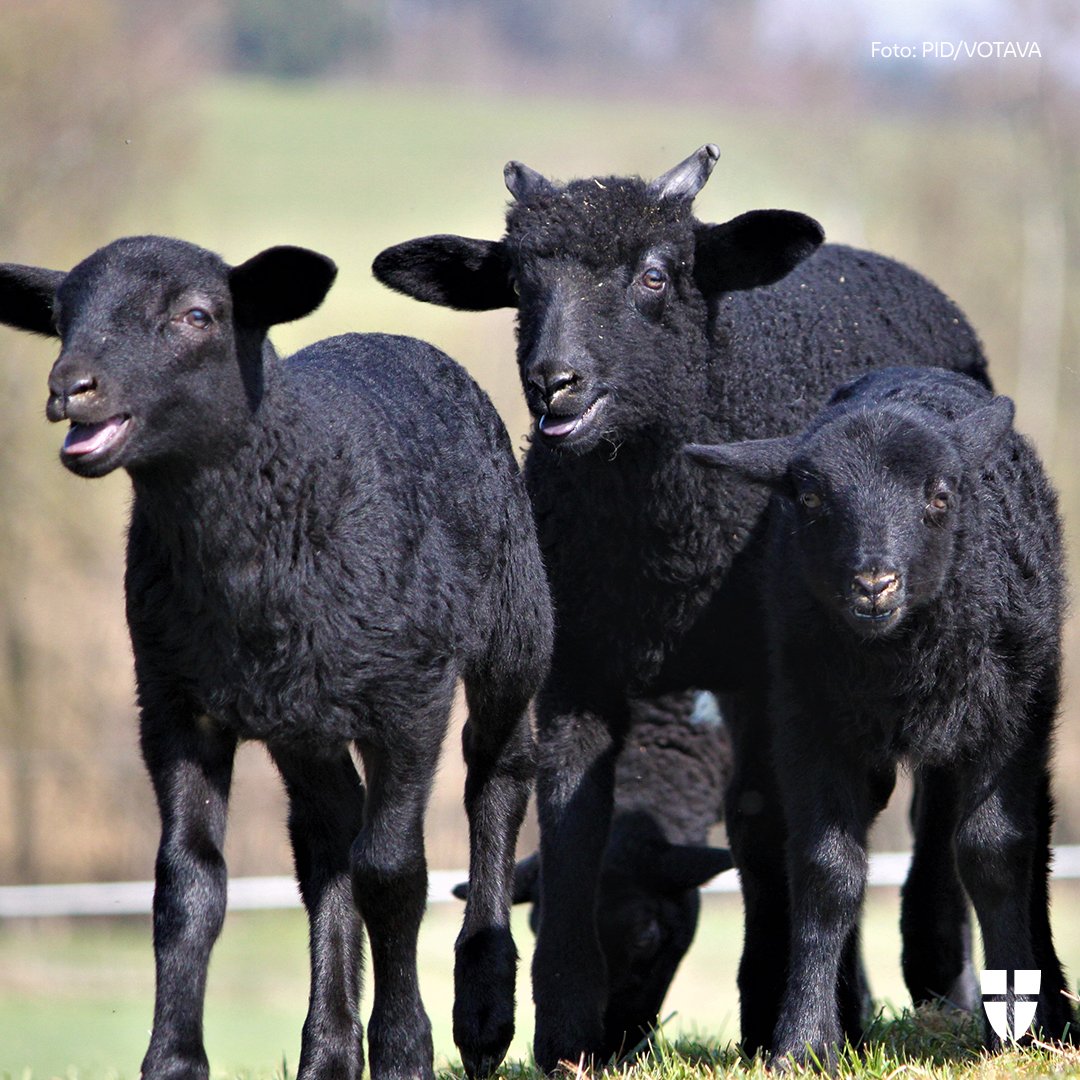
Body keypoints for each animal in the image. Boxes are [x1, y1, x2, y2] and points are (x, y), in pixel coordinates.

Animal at [0, 235, 553, 1080]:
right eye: (61, 318)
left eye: (197, 316)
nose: (72, 389)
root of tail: (390, 337)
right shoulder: (175, 702)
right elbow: (188, 884)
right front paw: (172, 1061)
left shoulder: (409, 695)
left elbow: (393, 872)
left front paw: (405, 1051)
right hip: (302, 717)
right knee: (327, 841)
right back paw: (328, 1050)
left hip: (513, 627)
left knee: (497, 776)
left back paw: (483, 1013)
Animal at [371, 145, 991, 1069]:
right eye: (519, 283)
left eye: (656, 276)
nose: (555, 384)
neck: (664, 557)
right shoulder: (578, 663)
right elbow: (572, 818)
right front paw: (564, 1034)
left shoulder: (763, 672)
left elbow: (765, 824)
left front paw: (769, 1012)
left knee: (929, 800)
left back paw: (937, 979)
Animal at [686, 366, 1074, 1065]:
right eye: (811, 499)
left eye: (941, 497)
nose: (874, 584)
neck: (899, 658)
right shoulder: (809, 717)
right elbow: (826, 866)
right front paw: (804, 1042)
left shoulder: (1007, 712)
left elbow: (996, 849)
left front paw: (1013, 1033)